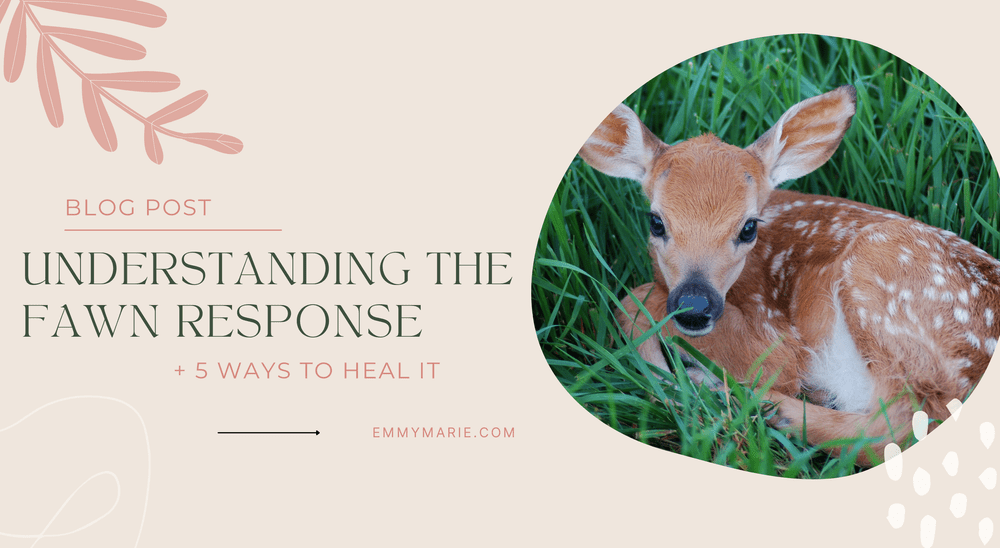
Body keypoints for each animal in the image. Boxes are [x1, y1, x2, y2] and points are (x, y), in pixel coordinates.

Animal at [579, 85, 1000, 465]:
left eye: (748, 227)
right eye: (656, 221)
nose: (694, 307)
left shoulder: (775, 337)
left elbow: (635, 297)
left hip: (883, 273)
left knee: (899, 426)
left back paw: (736, 397)